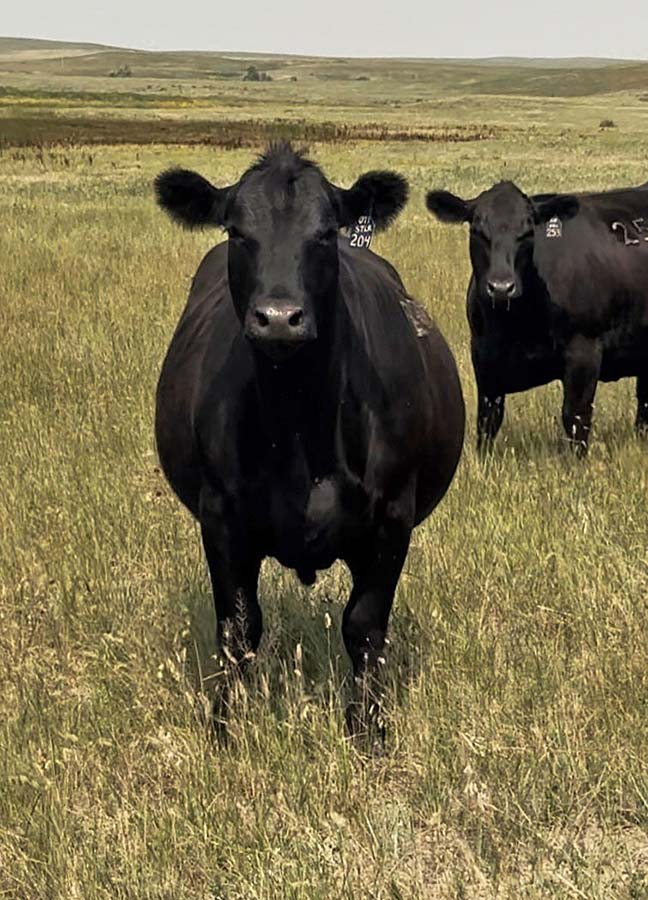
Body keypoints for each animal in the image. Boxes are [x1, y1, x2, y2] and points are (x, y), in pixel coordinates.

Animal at [154, 143, 465, 737]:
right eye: (237, 231)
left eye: (324, 234)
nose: (279, 318)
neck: (298, 426)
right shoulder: (220, 515)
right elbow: (237, 628)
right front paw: (225, 728)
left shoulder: (392, 519)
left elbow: (364, 628)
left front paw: (367, 731)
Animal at [426, 179, 648, 456]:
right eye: (477, 230)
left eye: (528, 231)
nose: (501, 287)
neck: (515, 324)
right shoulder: (483, 354)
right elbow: (487, 419)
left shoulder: (584, 350)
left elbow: (575, 417)